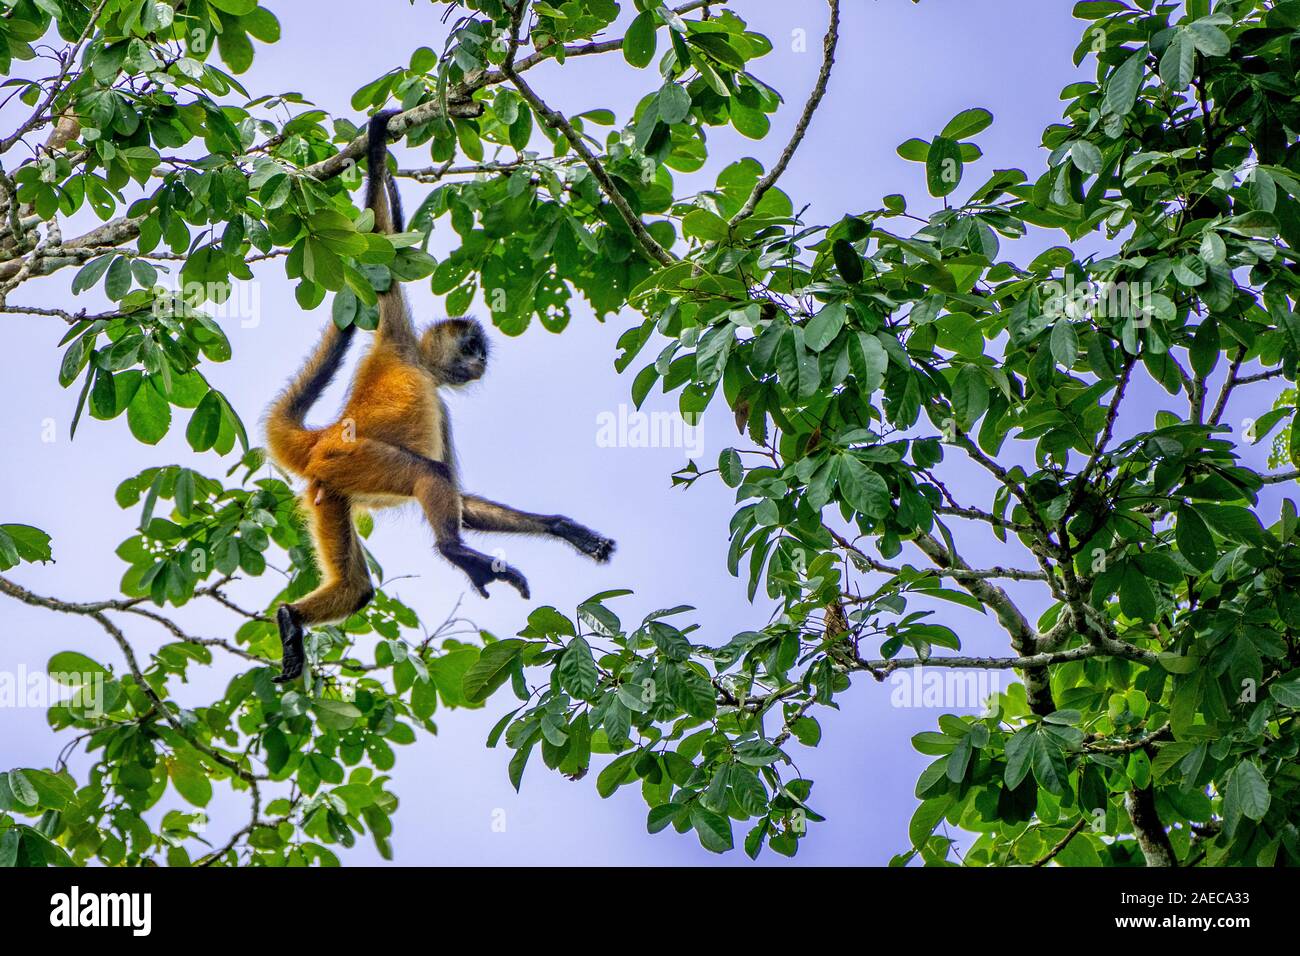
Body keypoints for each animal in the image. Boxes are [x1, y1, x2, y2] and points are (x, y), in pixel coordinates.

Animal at [265, 110, 618, 681]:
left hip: (329, 490)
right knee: (427, 475)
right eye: (471, 347)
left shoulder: (439, 401)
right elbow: (381, 250)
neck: (419, 366)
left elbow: (466, 500)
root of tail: (321, 438)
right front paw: (378, 141)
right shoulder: (395, 335)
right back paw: (456, 552)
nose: (479, 363)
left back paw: (290, 618)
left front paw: (568, 530)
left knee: (358, 588)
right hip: (349, 459)